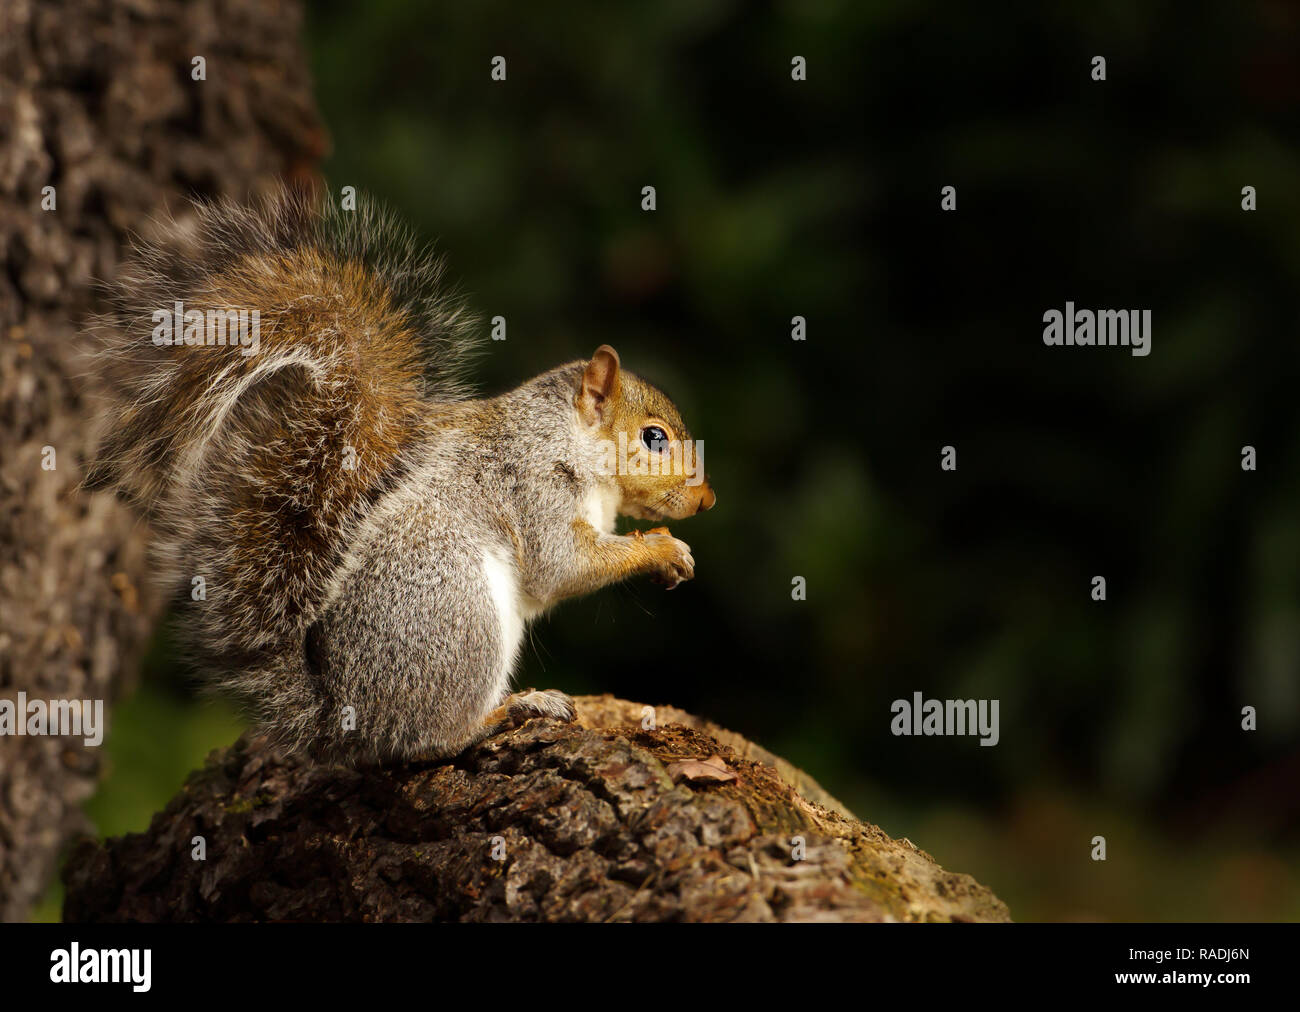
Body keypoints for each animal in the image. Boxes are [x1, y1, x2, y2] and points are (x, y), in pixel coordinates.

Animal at [85, 187, 715, 766]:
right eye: (653, 438)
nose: (706, 500)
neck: (569, 441)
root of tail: (344, 720)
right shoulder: (534, 485)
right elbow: (563, 564)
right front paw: (662, 550)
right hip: (457, 610)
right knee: (424, 739)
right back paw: (508, 710)